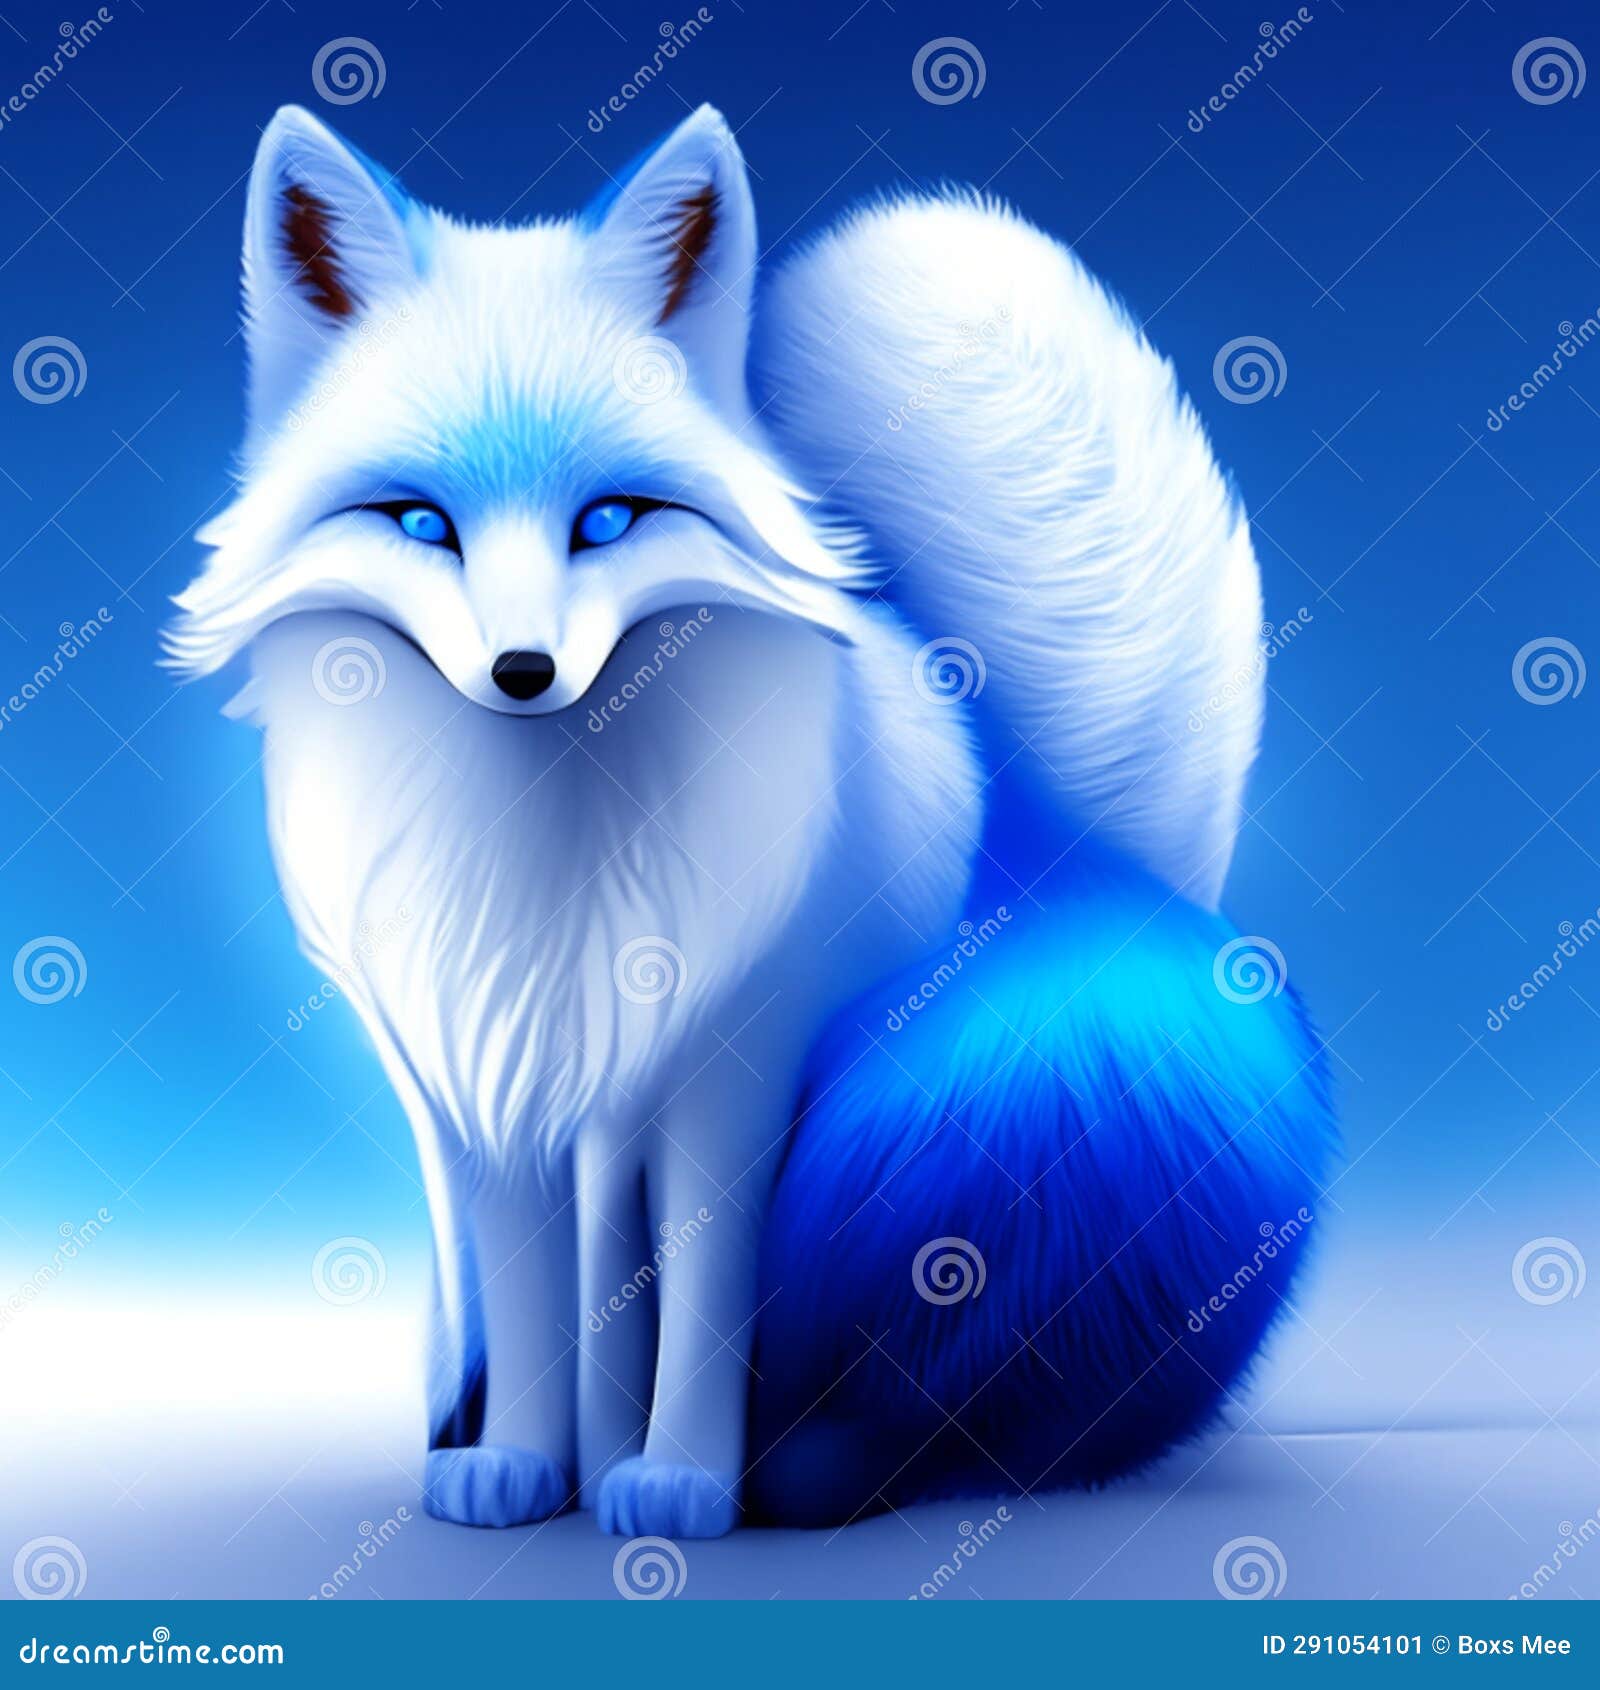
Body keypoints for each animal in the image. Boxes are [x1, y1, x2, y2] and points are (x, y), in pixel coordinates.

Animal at [169, 102, 1334, 1538]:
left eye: (609, 517)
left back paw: (805, 1476)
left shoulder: (725, 1064)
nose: (521, 672)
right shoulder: (480, 1079)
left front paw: (669, 1478)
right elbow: (540, 1295)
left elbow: (696, 1295)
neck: (541, 846)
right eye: (422, 520)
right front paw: (522, 1466)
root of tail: (1078, 839)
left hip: (986, 1113)